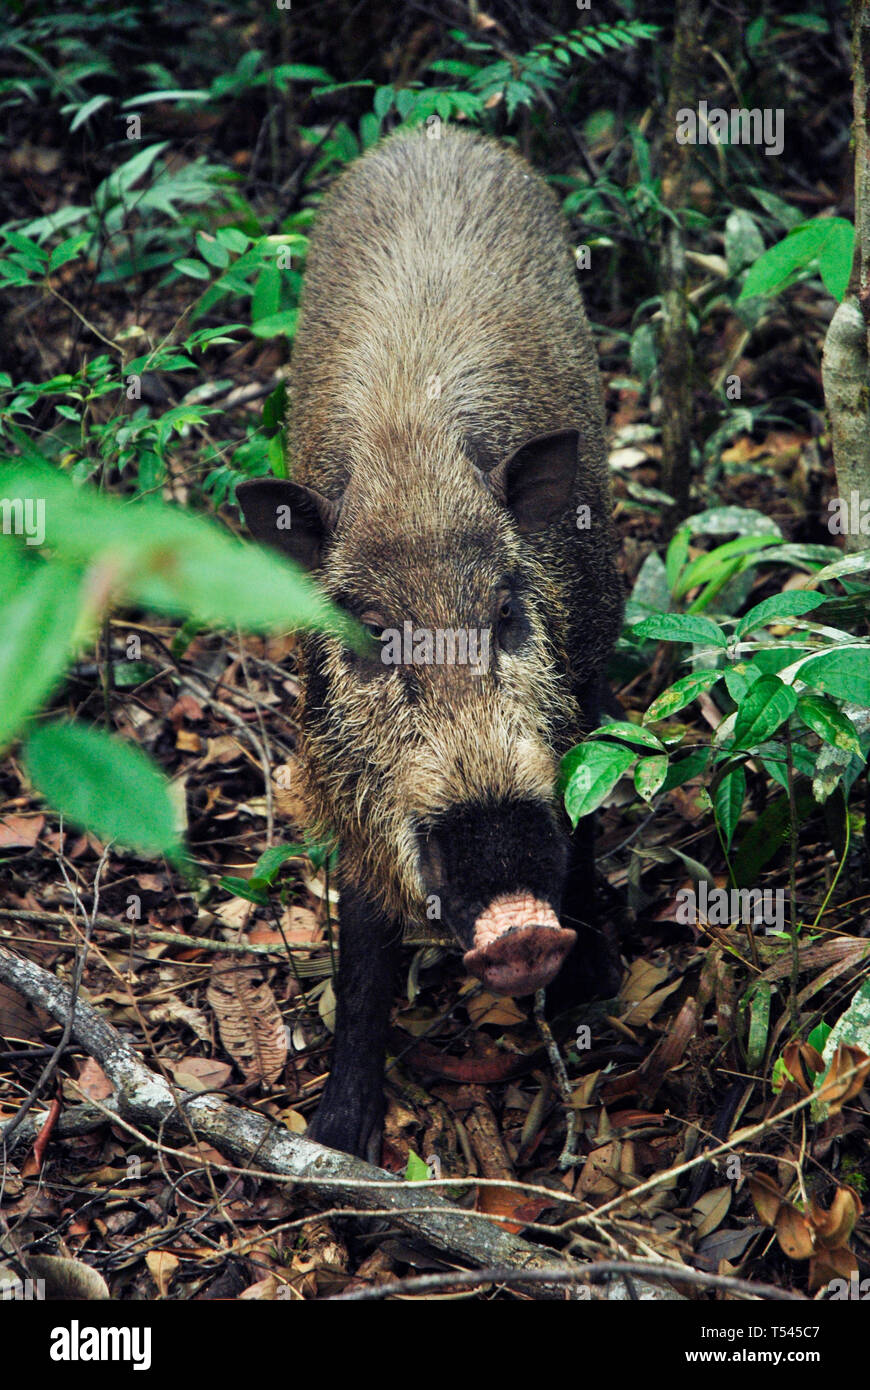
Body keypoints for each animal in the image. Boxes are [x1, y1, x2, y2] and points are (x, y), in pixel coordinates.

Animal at [237, 123, 623, 1161]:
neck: (411, 473)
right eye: (372, 635)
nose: (523, 928)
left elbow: (593, 808)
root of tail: (435, 132)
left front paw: (599, 992)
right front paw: (339, 1143)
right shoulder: (340, 767)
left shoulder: (585, 672)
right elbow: (361, 943)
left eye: (509, 613)